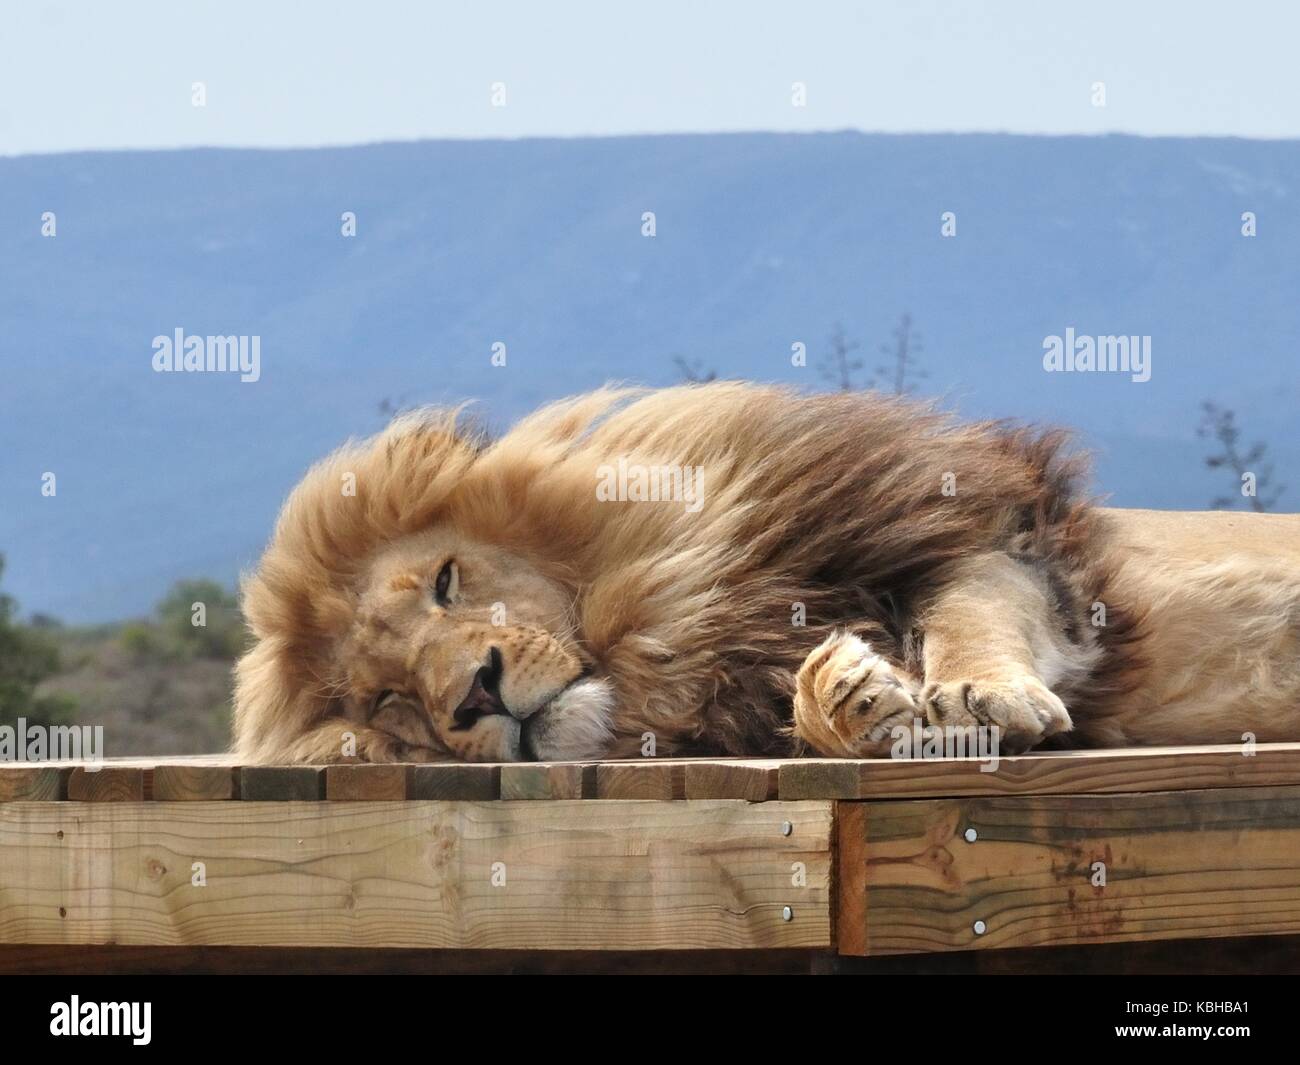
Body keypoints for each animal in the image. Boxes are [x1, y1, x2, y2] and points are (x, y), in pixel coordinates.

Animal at [233, 383, 1300, 764]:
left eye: (447, 581)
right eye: (385, 701)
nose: (475, 694)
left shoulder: (995, 532)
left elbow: (971, 614)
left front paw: (980, 694)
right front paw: (855, 695)